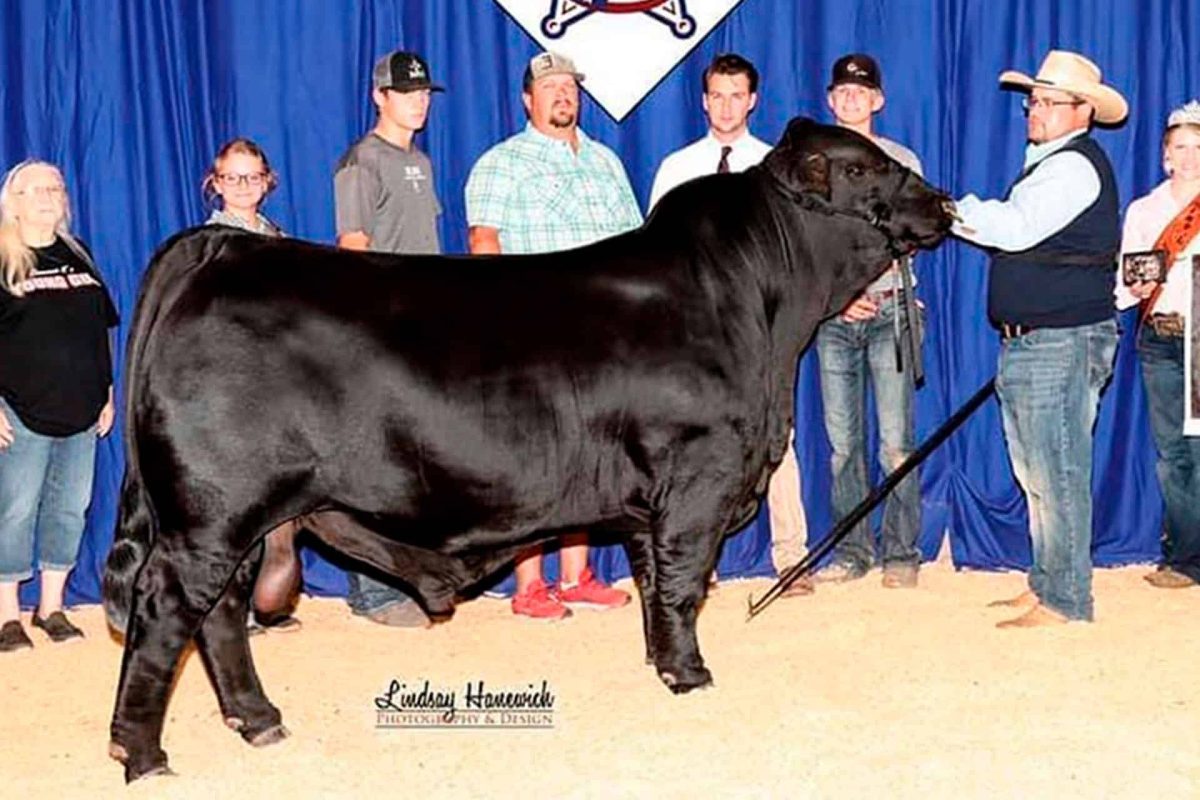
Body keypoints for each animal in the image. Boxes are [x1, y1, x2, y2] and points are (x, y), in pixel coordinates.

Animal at [102, 118, 952, 781]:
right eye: (864, 166)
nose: (943, 202)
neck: (757, 306)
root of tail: (223, 248)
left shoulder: (646, 506)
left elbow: (654, 587)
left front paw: (660, 664)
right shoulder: (698, 480)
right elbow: (683, 585)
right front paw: (692, 676)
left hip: (238, 519)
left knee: (219, 613)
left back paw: (259, 720)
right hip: (212, 514)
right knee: (168, 608)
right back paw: (142, 754)